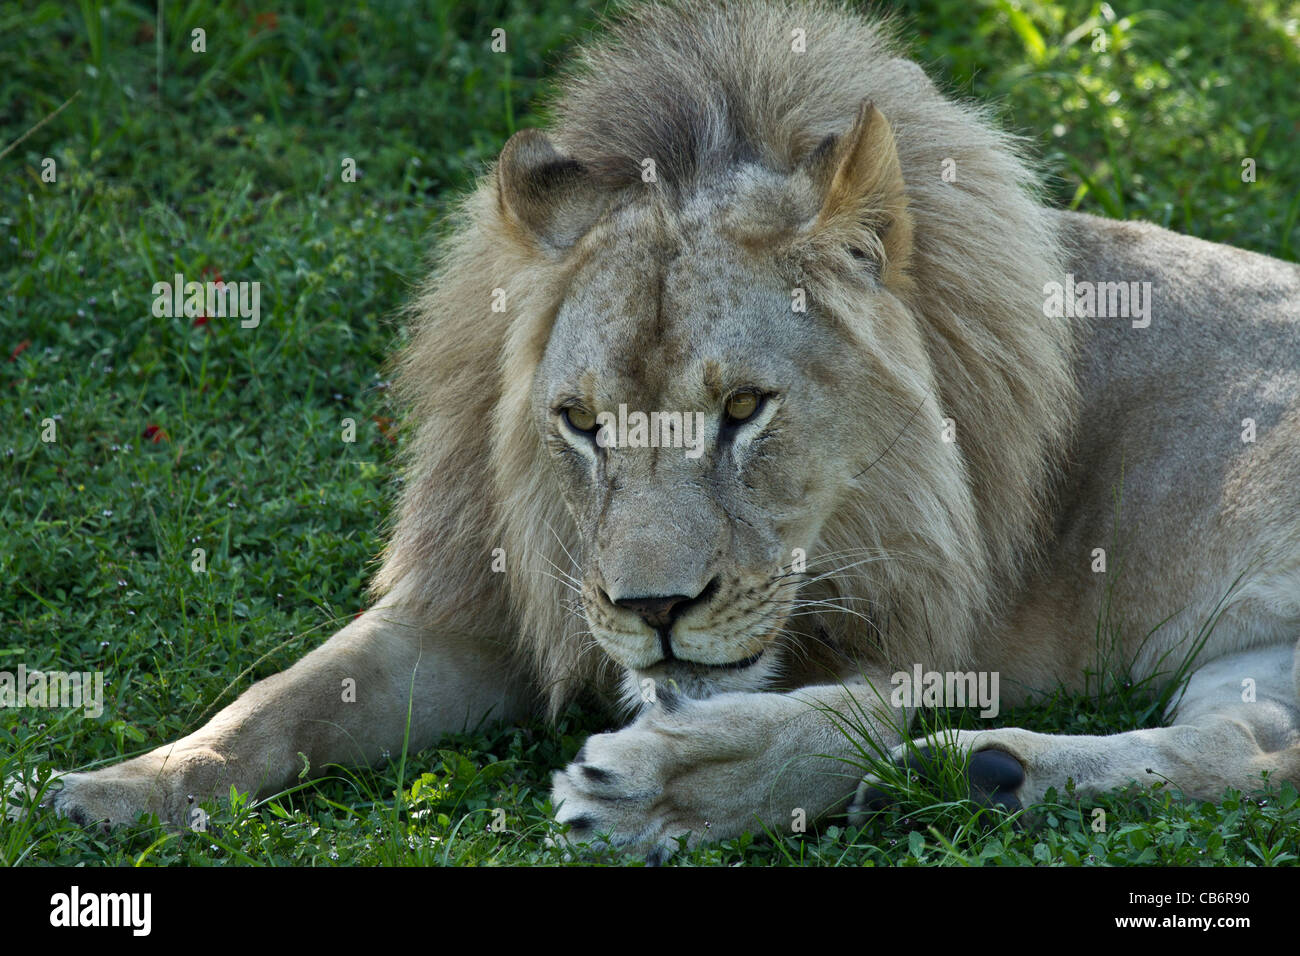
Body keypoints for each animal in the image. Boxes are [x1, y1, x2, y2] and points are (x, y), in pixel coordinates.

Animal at [34, 0, 1300, 861]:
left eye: (743, 410)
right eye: (581, 423)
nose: (653, 610)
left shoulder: (939, 617)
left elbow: (853, 699)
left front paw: (679, 778)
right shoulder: (480, 595)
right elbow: (286, 694)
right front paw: (124, 783)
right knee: (1245, 741)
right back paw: (991, 771)